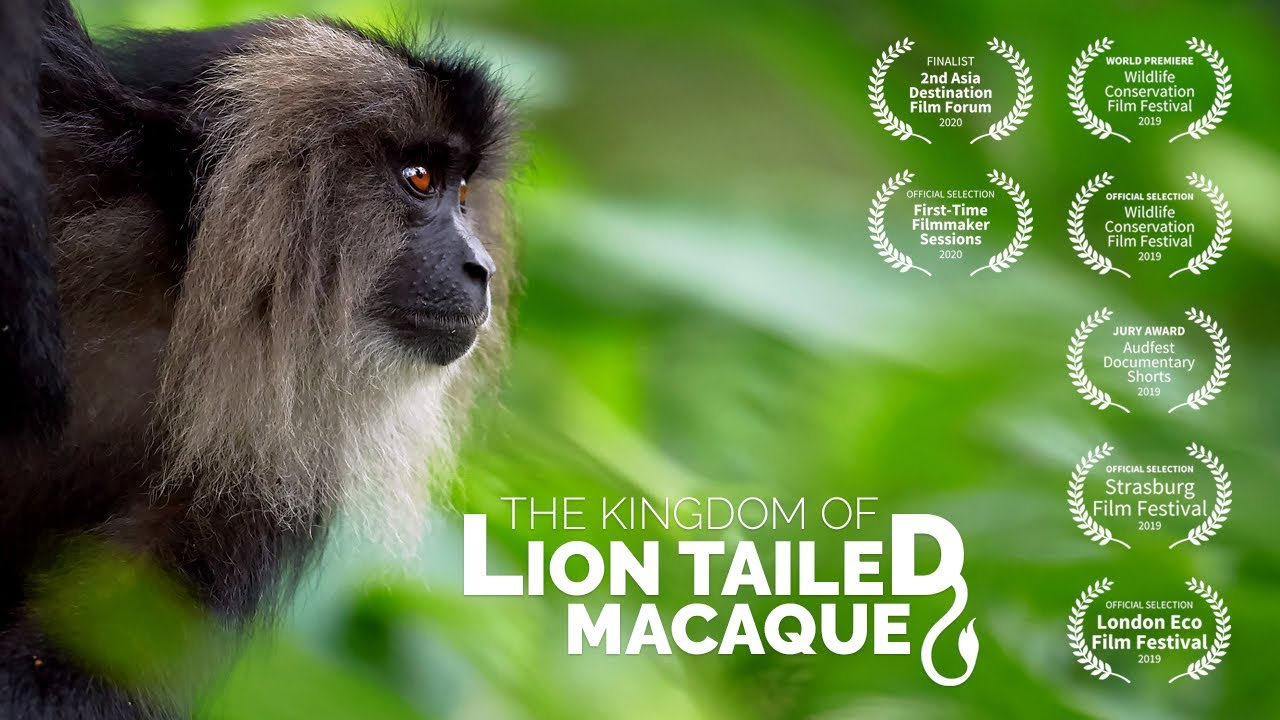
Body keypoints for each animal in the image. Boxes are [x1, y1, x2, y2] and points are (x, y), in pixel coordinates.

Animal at [0, 0, 518, 716]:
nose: (480, 268)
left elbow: (85, 659)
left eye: (463, 193)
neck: (189, 301)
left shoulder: (271, 462)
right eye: (420, 178)